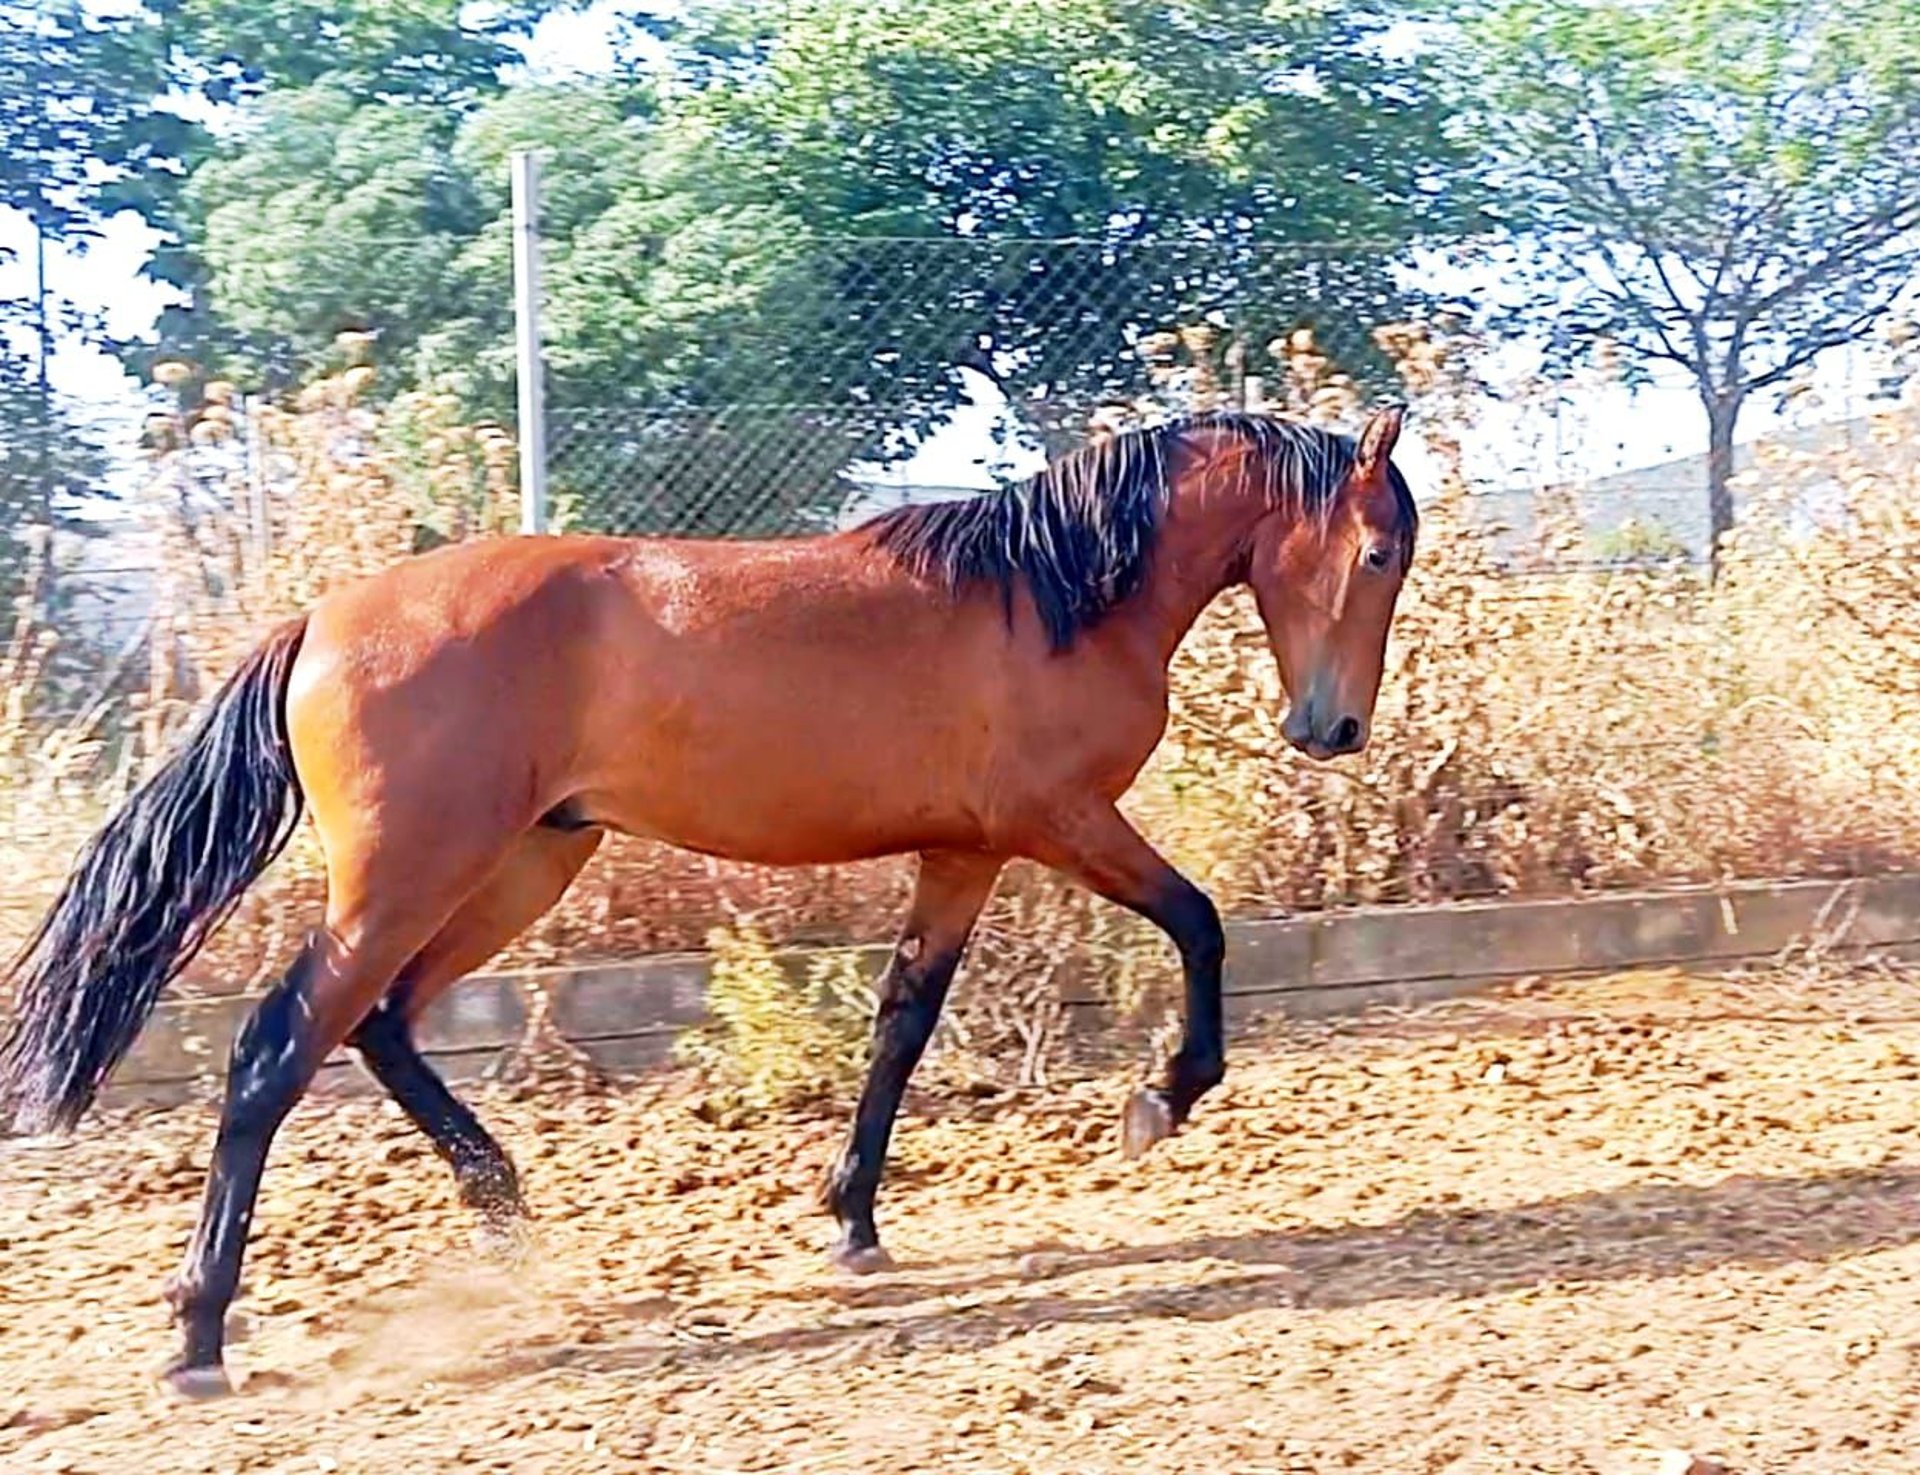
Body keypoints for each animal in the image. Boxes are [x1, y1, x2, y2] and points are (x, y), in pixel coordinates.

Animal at [0, 405, 1419, 1396]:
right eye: (1376, 548)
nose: (1336, 729)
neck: (1053, 598)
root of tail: (322, 620)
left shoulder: (964, 854)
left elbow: (902, 1024)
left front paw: (853, 1220)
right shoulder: (1059, 824)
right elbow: (1199, 922)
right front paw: (1160, 1099)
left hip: (522, 863)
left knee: (383, 1022)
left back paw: (508, 1216)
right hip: (415, 870)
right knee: (278, 1044)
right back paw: (200, 1337)